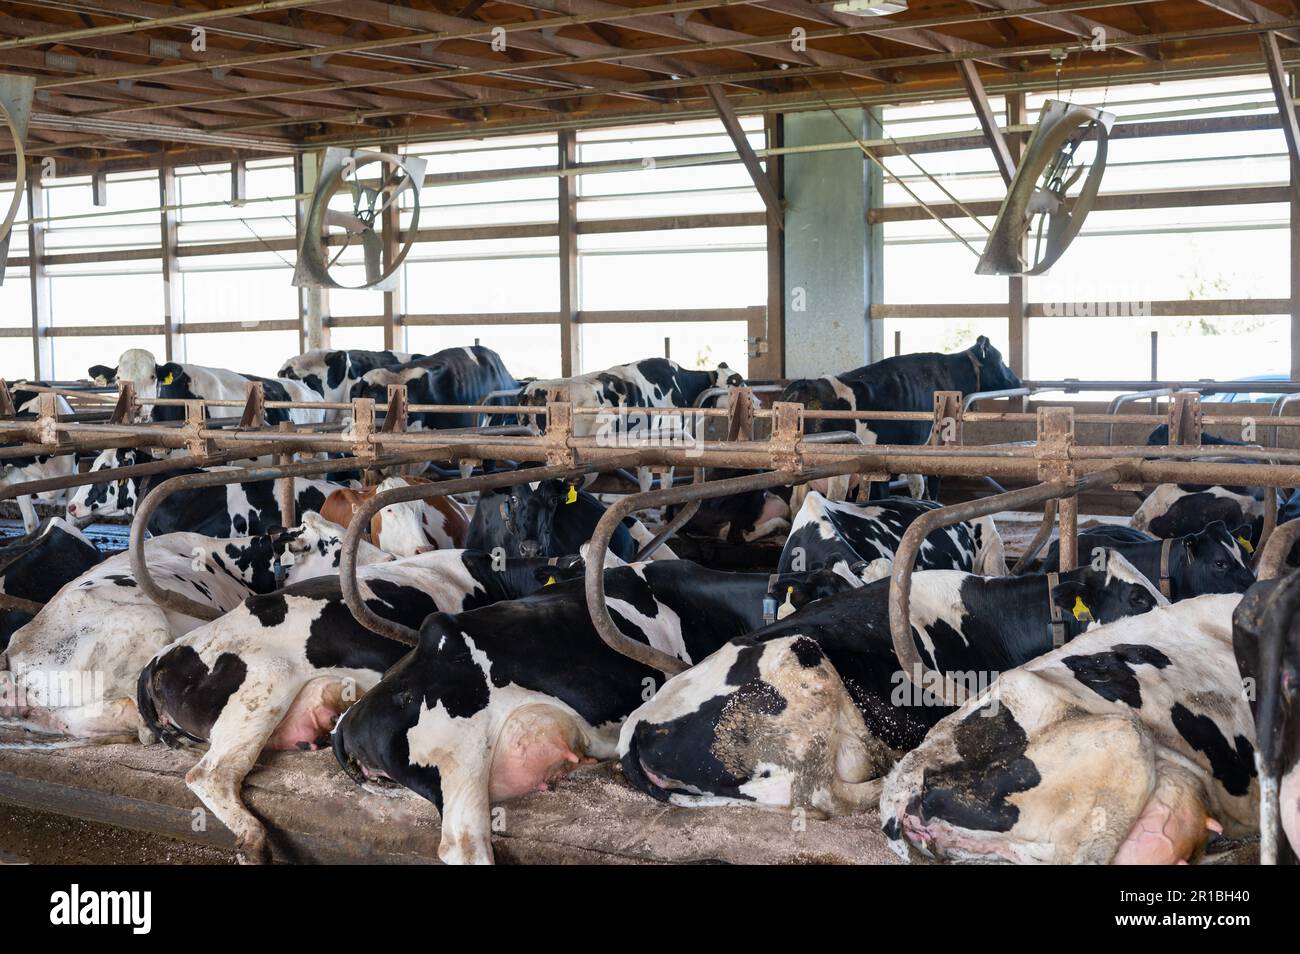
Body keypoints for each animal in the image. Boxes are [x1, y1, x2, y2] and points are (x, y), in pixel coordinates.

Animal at [779, 336, 1021, 498]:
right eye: (1001, 359)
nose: (1018, 380)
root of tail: (806, 385)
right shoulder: (933, 442)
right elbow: (927, 482)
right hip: (836, 471)